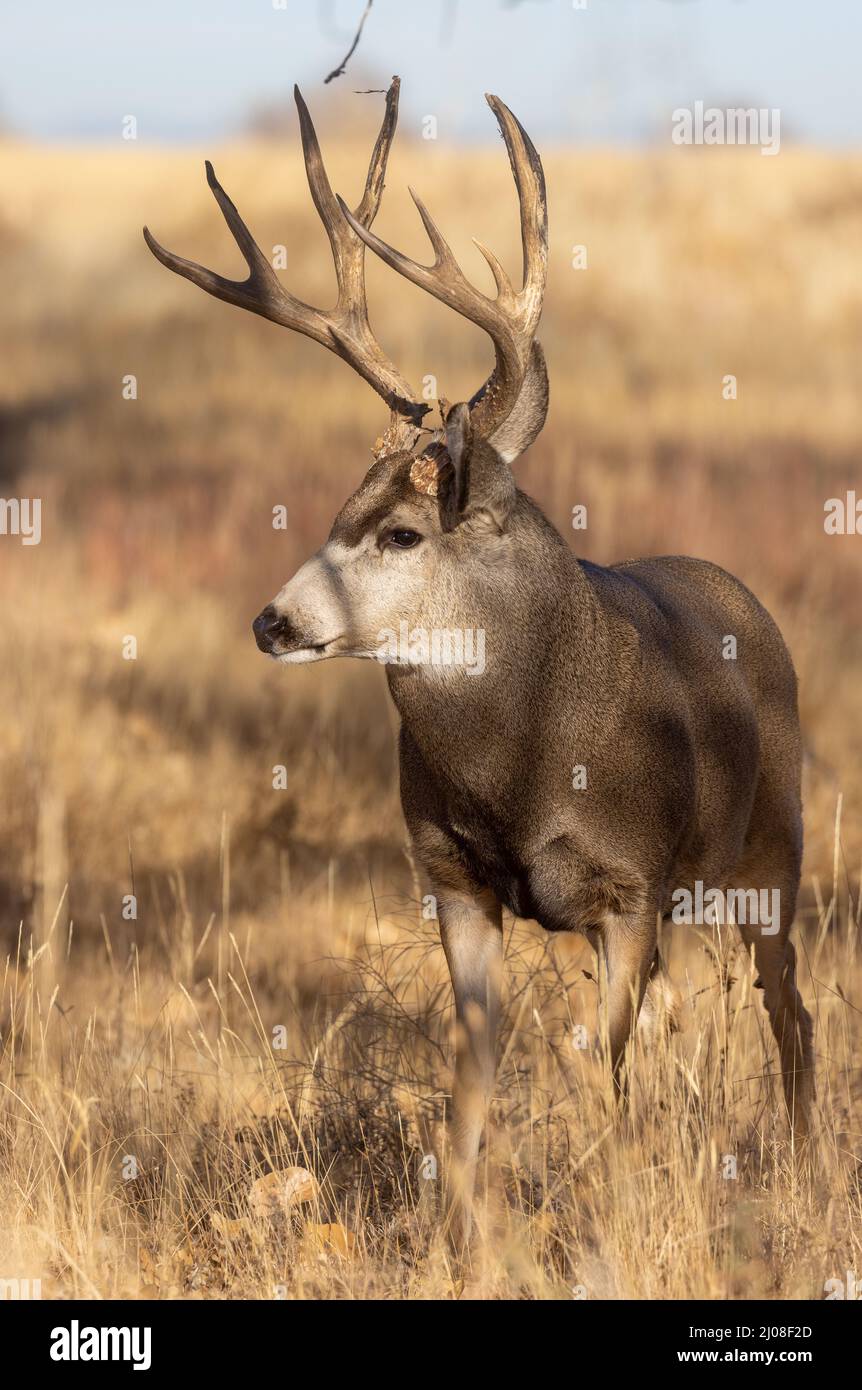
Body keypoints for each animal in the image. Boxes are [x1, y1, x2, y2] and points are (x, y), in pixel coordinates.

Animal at [144, 76, 814, 1247]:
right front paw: (457, 1236)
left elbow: (607, 1074)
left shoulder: (629, 887)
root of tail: (746, 597)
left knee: (793, 1017)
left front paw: (618, 1216)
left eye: (404, 533)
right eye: (337, 512)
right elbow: (474, 1075)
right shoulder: (451, 879)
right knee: (693, 1024)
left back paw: (811, 1175)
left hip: (775, 846)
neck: (526, 759)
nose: (272, 622)